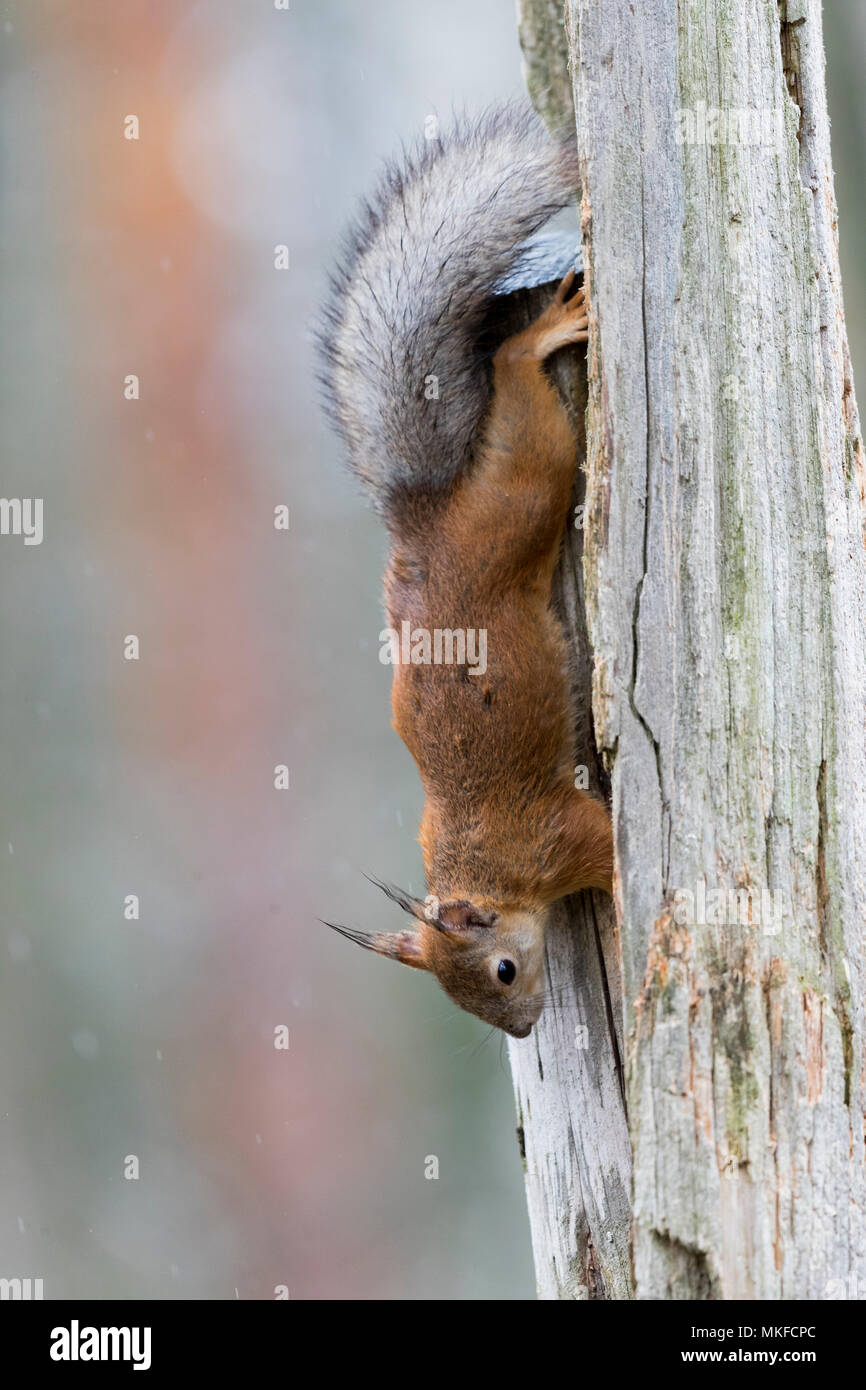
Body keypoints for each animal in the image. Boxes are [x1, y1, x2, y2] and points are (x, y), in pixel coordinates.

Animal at [318, 102, 613, 1040]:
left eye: (504, 969)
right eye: (475, 993)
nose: (520, 1028)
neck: (485, 870)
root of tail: (425, 515)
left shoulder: (565, 835)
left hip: (523, 486)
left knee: (518, 384)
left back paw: (542, 335)